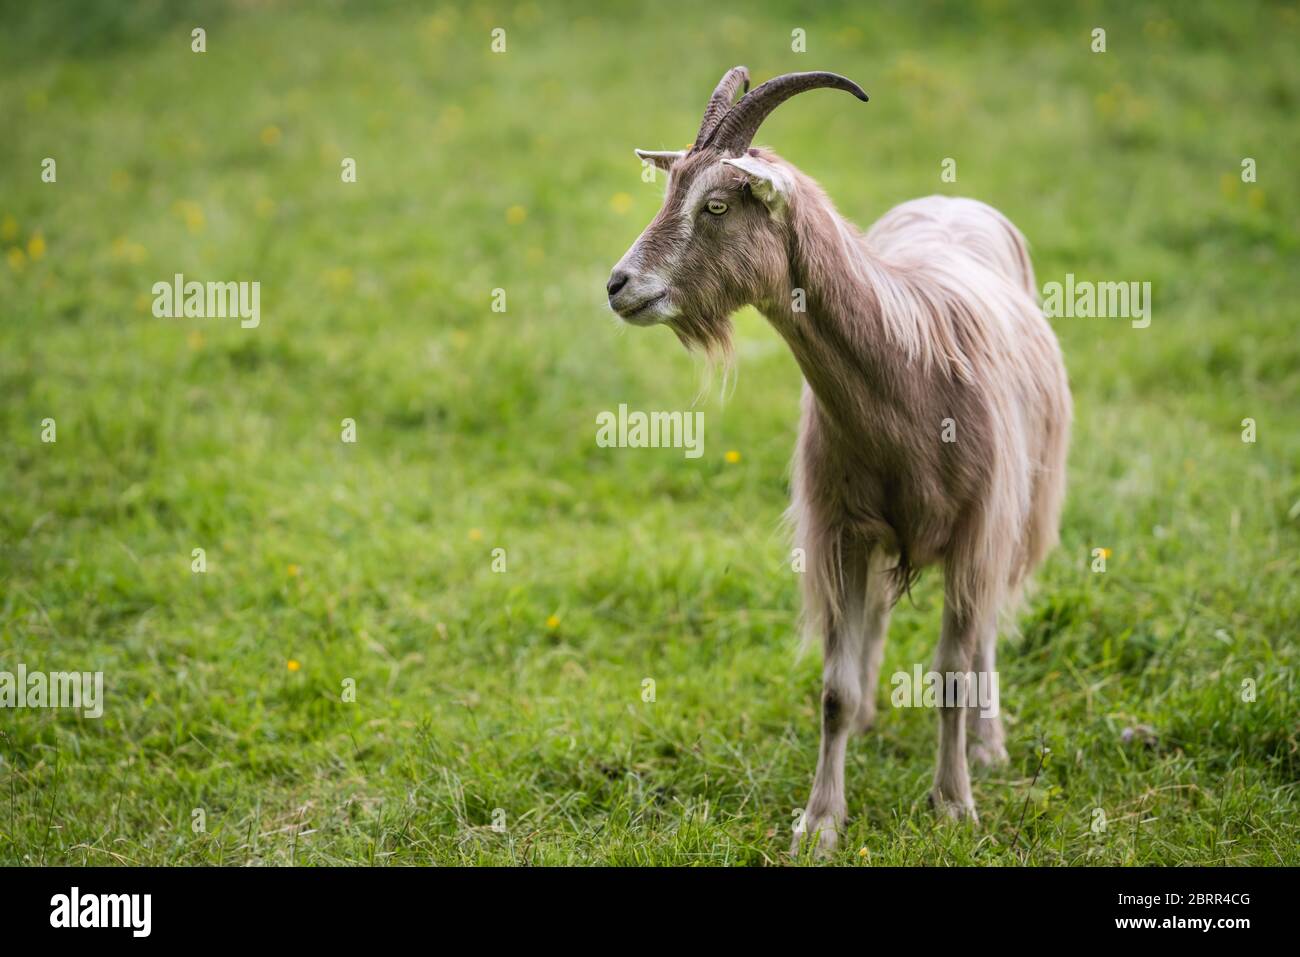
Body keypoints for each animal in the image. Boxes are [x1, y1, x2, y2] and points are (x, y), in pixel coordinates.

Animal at [607, 67, 1072, 855]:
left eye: (717, 204)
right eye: (671, 193)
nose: (618, 285)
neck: (913, 381)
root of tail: (952, 201)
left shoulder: (978, 525)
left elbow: (953, 671)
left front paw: (954, 805)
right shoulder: (841, 529)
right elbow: (834, 686)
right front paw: (820, 820)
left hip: (1017, 512)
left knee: (985, 632)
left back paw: (988, 746)